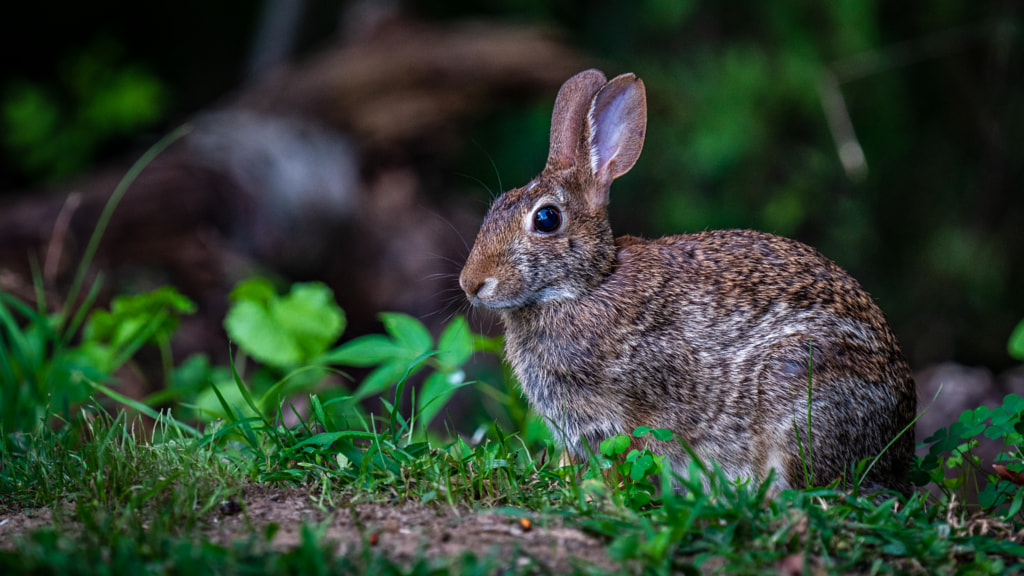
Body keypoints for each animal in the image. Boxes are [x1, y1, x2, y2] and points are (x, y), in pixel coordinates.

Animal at [459, 69, 917, 494]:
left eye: (547, 218)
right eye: (496, 207)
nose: (471, 284)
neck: (588, 284)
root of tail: (900, 439)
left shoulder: (631, 409)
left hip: (801, 387)